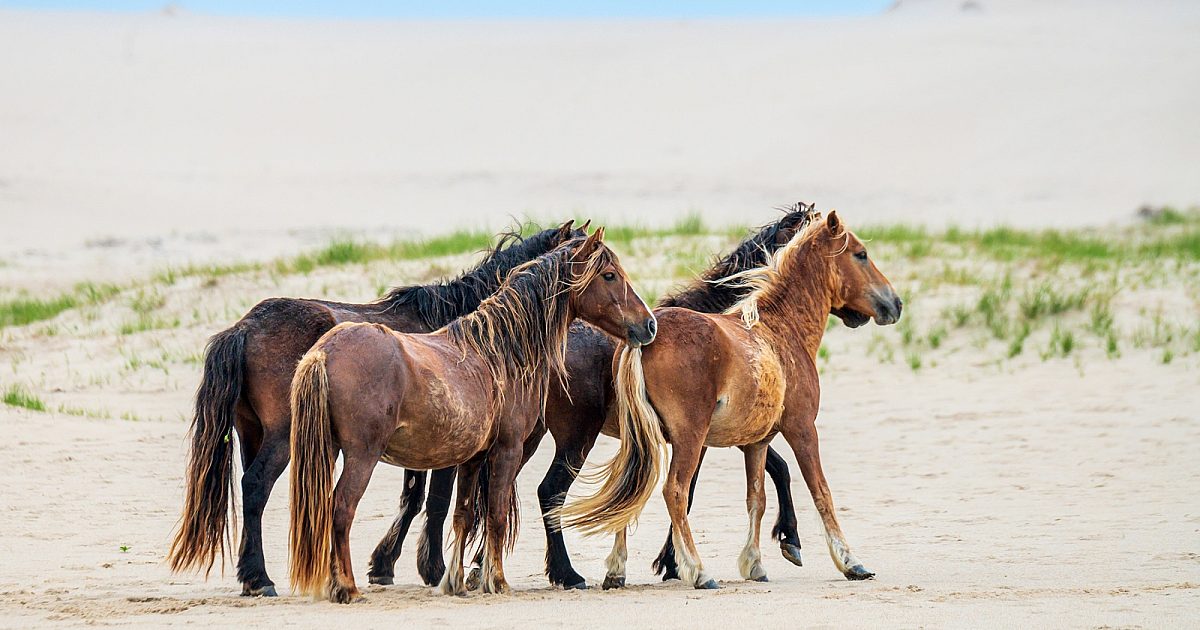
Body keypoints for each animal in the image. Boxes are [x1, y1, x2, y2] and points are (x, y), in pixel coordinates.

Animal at [168, 220, 582, 597]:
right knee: (256, 487)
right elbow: (435, 503)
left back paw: (250, 575)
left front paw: (385, 566)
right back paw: (261, 579)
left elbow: (413, 499)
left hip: (251, 434)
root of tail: (244, 327)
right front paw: (432, 569)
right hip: (282, 437)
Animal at [288, 229, 656, 602]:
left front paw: (455, 581)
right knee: (341, 509)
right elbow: (495, 515)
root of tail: (323, 352)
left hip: (330, 449)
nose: (649, 324)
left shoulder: (473, 458)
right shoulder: (508, 450)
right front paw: (497, 580)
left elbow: (463, 514)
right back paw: (347, 587)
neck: (500, 352)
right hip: (362, 455)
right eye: (609, 275)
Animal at [559, 211, 901, 589]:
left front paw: (755, 563)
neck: (781, 329)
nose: (895, 303)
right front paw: (850, 561)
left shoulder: (756, 443)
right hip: (685, 437)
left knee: (632, 489)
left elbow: (758, 498)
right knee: (672, 491)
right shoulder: (802, 429)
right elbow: (820, 491)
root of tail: (644, 337)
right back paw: (698, 571)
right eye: (861, 254)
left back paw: (617, 570)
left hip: (643, 440)